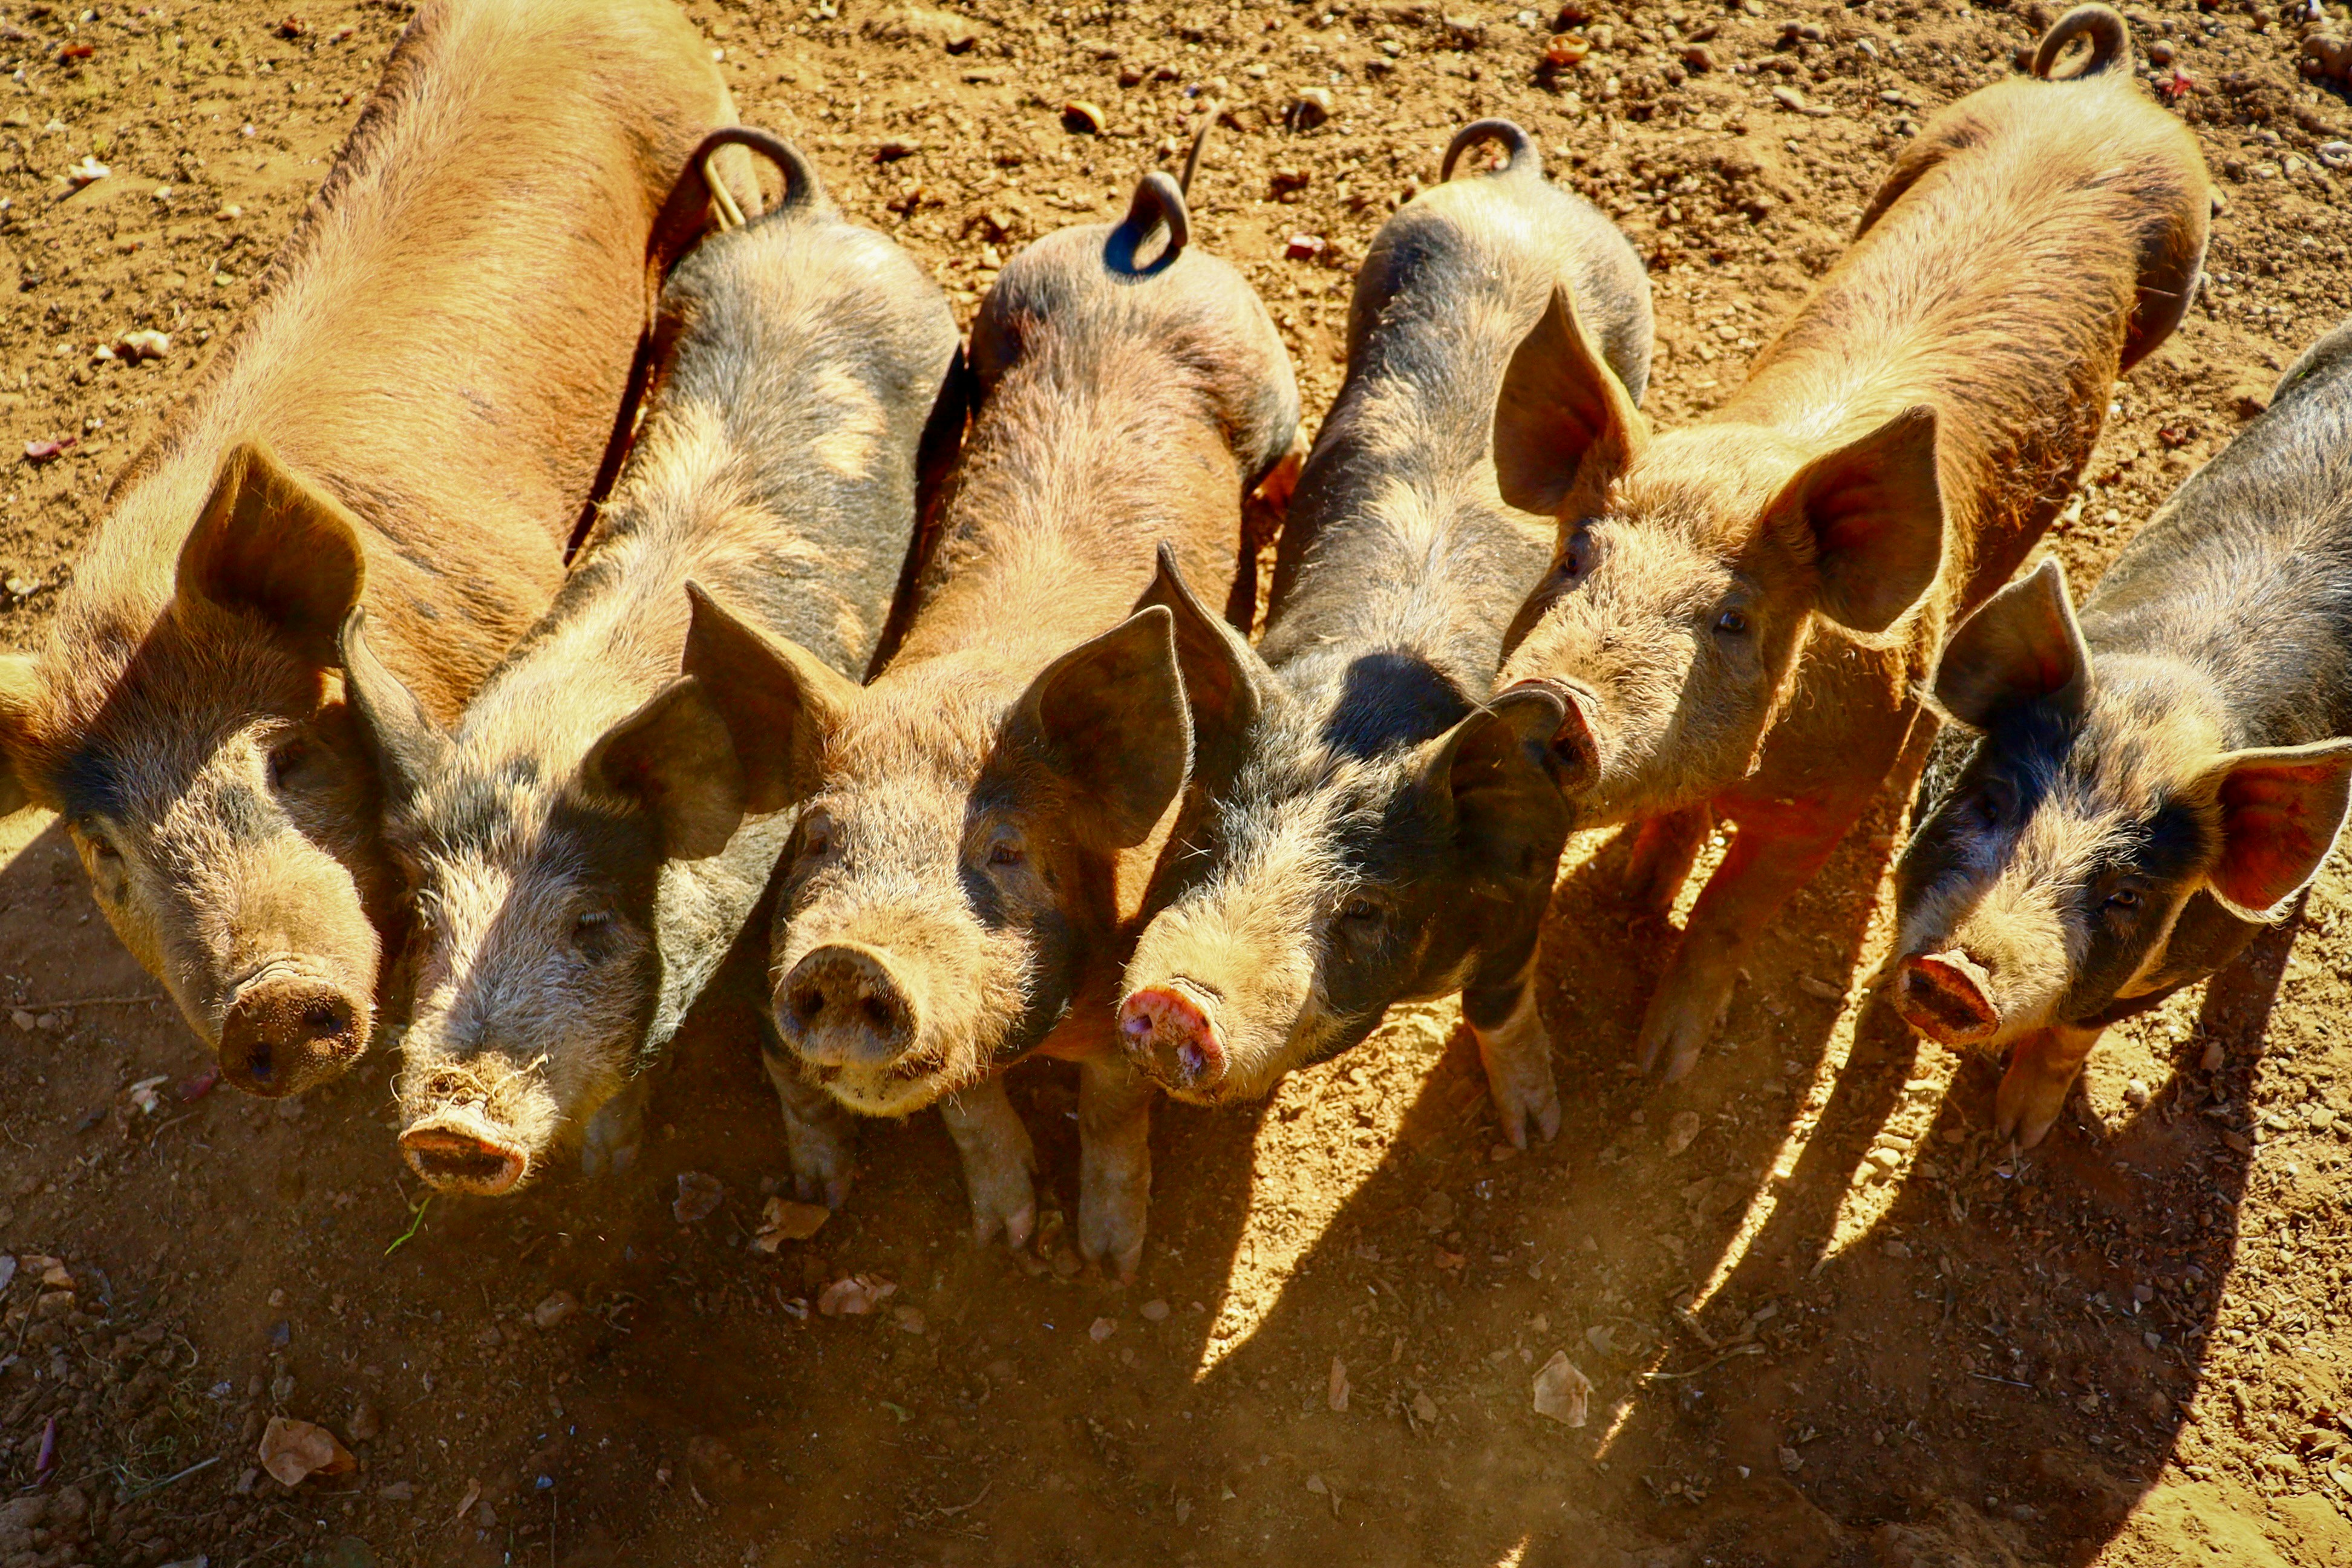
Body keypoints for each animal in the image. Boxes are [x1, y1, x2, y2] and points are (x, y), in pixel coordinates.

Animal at [337, 131, 963, 1195]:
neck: (549, 736)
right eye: (424, 924)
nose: (453, 1129)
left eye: (591, 926)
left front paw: (611, 1163)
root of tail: (810, 215)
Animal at [685, 139, 1299, 1275]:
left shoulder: (1129, 993)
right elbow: (969, 1109)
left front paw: (1108, 1262)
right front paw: (1006, 1236)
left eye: (1005, 852)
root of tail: (1138, 252)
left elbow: (1113, 1112)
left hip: (1264, 382)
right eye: (819, 839)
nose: (848, 956)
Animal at [1113, 119, 1651, 1146]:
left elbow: (1498, 1003)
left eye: (1362, 907)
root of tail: (1521, 182)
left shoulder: (1532, 870)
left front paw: (1537, 1134)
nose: (1176, 1001)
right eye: (1205, 843)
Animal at [1487, 3, 2211, 1082]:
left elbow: (1729, 913)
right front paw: (1630, 895)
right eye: (1573, 555)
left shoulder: (1829, 802)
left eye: (1733, 619)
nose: (1544, 698)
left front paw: (1664, 1069)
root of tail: (2110, 87)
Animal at [1888, 320, 2352, 1147]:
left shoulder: (2188, 958)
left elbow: (2072, 1035)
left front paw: (2018, 1136)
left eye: (2127, 896)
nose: (1959, 974)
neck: (2156, 716)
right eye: (1991, 803)